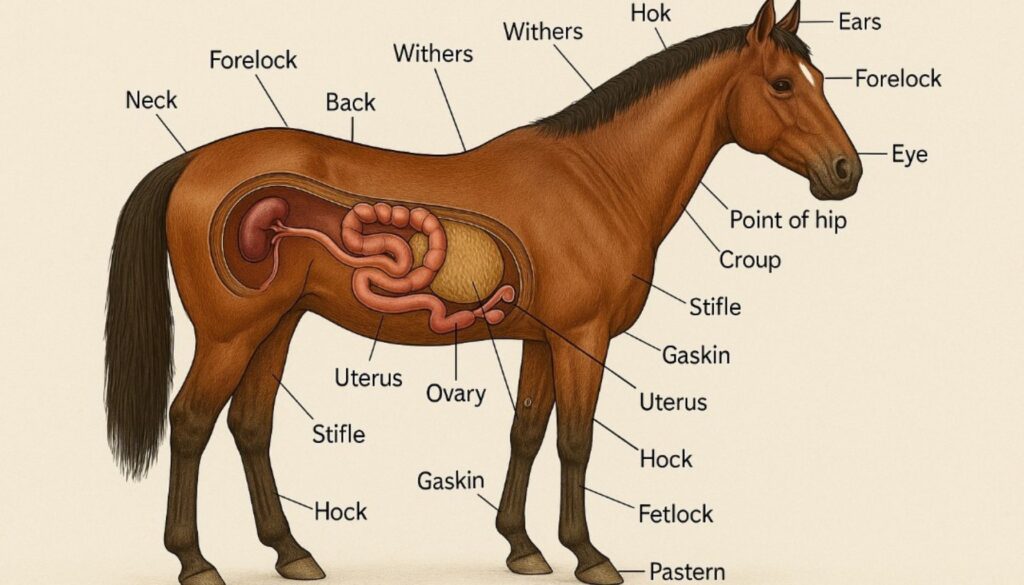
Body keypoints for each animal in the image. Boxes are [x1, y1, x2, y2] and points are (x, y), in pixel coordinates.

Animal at [104, 2, 861, 584]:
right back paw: (196, 560)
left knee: (250, 426)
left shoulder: (541, 339)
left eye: (820, 78)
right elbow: (575, 442)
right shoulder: (582, 339)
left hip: (278, 324)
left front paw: (522, 546)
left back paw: (292, 552)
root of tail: (193, 161)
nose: (846, 171)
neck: (597, 179)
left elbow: (526, 432)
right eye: (783, 84)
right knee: (191, 422)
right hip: (230, 332)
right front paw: (589, 554)